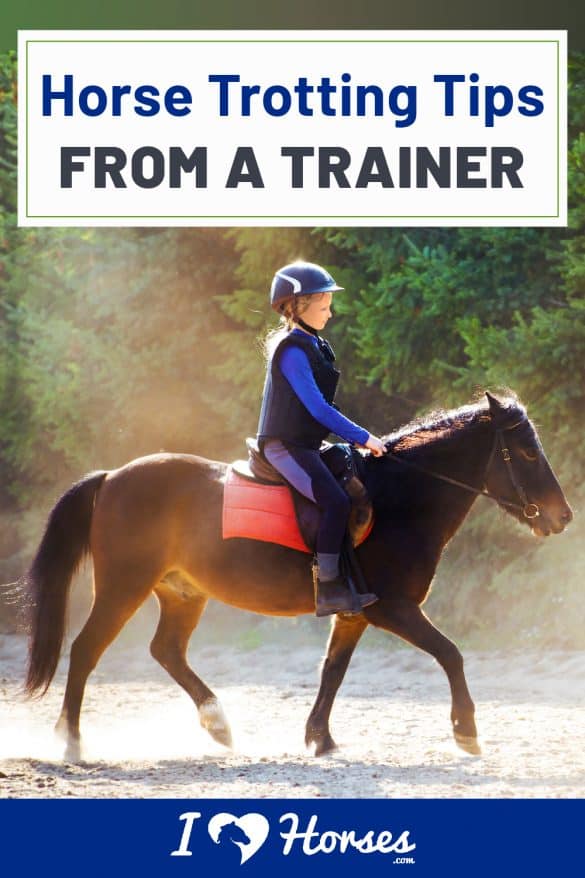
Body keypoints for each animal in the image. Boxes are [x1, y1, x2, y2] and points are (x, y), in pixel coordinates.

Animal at [15, 391, 571, 761]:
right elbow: (451, 654)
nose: (562, 515)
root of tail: (111, 477)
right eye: (525, 452)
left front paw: (319, 738)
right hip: (122, 587)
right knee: (86, 651)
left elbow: (332, 671)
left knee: (166, 651)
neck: (400, 498)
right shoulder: (393, 609)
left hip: (182, 593)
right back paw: (71, 741)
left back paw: (218, 724)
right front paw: (466, 731)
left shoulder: (355, 613)